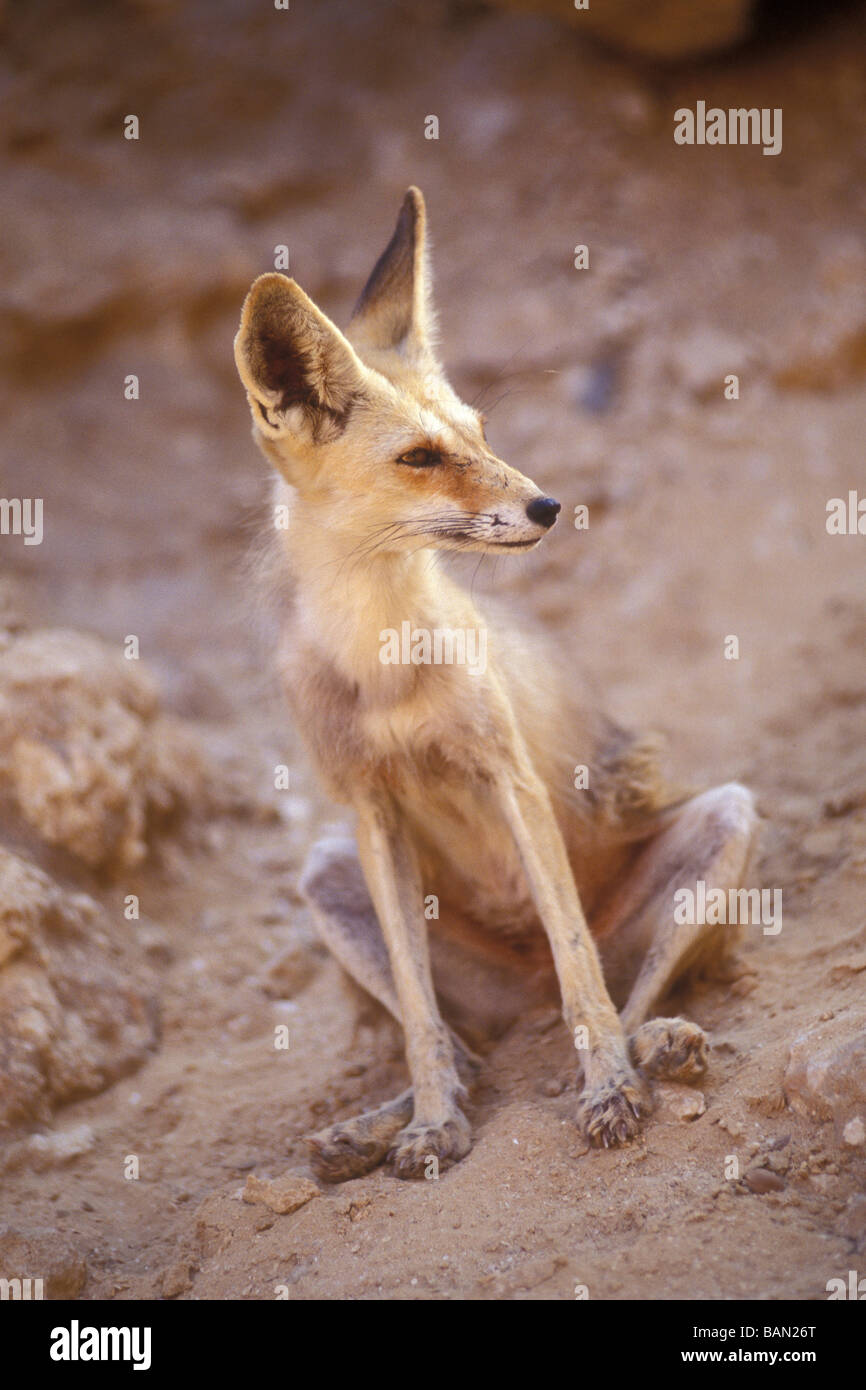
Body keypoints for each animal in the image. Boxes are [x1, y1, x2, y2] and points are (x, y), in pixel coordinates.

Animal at [234, 187, 758, 1181]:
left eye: (480, 433)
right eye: (420, 457)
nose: (548, 506)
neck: (385, 670)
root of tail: (521, 990)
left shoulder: (510, 779)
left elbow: (580, 966)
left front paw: (608, 1090)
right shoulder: (369, 814)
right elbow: (421, 1022)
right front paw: (433, 1124)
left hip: (727, 822)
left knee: (616, 991)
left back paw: (656, 1049)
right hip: (326, 873)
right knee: (464, 1043)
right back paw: (375, 1126)